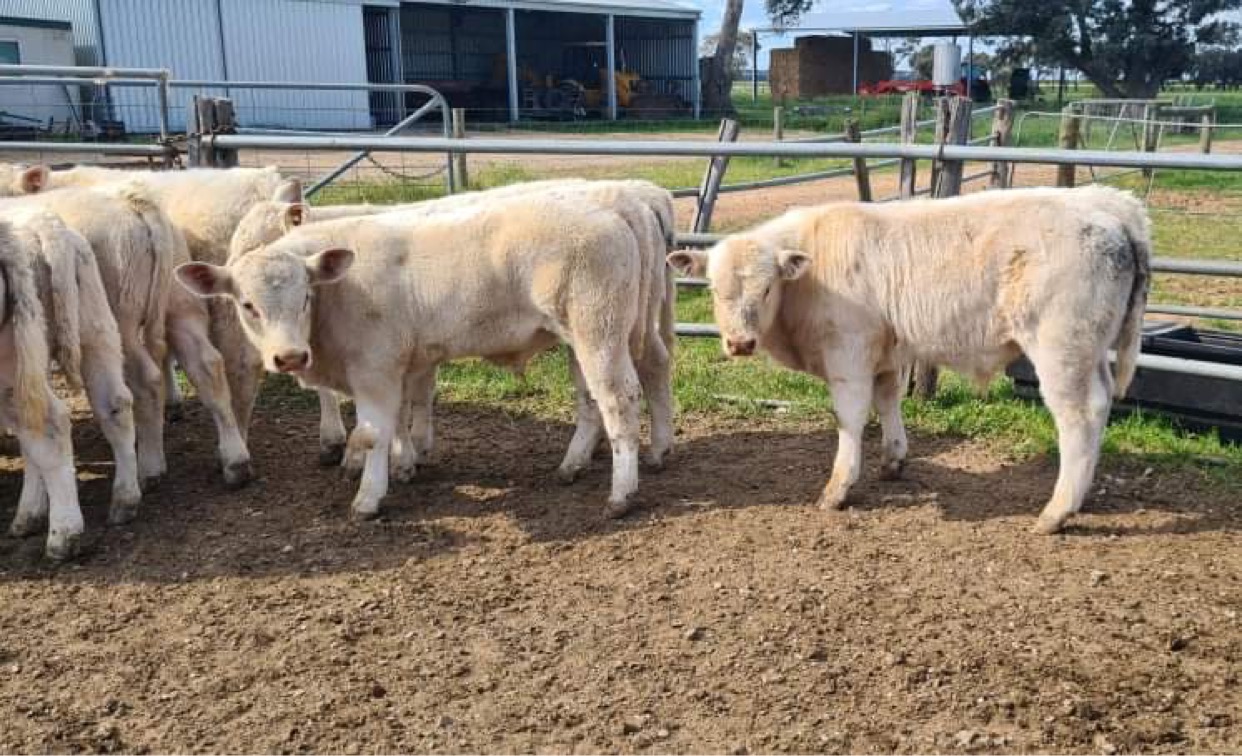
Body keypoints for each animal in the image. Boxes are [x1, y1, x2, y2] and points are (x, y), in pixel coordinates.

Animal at [1, 209, 134, 559]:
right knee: (114, 405)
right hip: (94, 328)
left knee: (49, 425)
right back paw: (125, 499)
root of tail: (46, 224)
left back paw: (63, 534)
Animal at [177, 194, 653, 519]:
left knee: (618, 400)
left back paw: (621, 494)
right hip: (579, 338)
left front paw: (368, 496)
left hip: (599, 331)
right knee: (590, 400)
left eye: (305, 297)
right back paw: (572, 465)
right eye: (247, 305)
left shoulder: (374, 369)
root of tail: (611, 212)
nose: (290, 357)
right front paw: (404, 464)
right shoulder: (404, 363)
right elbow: (402, 416)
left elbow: (373, 432)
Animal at [669, 186, 1151, 534]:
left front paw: (838, 489)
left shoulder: (848, 355)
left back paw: (1056, 512)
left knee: (1078, 417)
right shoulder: (885, 356)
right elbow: (888, 403)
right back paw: (1080, 498)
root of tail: (1108, 204)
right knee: (1102, 404)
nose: (740, 342)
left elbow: (850, 418)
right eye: (713, 288)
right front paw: (894, 461)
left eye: (767, 289)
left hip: (1060, 349)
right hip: (1091, 351)